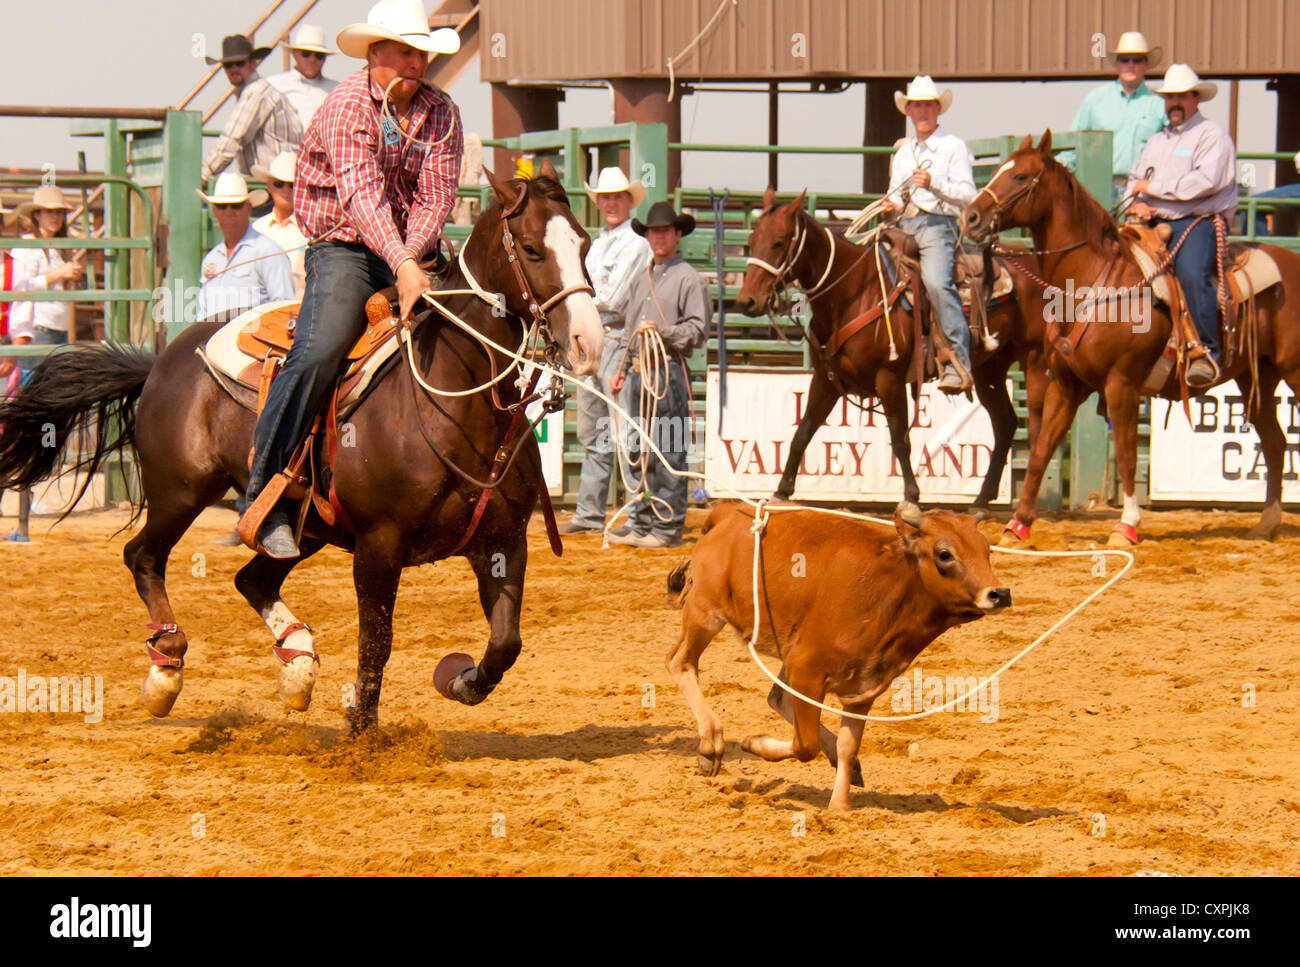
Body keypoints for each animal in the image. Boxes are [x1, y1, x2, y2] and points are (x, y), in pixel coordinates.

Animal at [664, 500, 1011, 812]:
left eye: (986, 550)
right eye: (944, 554)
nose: (1000, 593)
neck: (888, 592)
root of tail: (727, 511)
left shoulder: (864, 687)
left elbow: (847, 746)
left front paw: (839, 806)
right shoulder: (807, 670)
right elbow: (805, 745)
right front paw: (756, 744)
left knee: (777, 698)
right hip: (704, 614)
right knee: (680, 663)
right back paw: (710, 744)